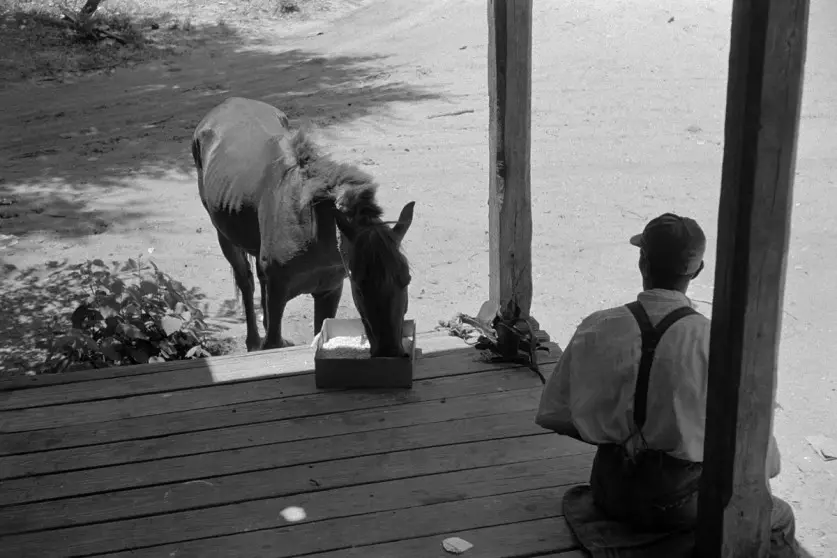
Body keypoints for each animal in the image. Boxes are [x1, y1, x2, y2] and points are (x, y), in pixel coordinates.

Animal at [189, 98, 412, 356]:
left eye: (407, 279)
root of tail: (229, 102)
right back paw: (253, 341)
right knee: (246, 283)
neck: (311, 228)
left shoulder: (329, 291)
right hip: (224, 237)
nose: (390, 351)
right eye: (358, 285)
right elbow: (272, 340)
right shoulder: (278, 294)